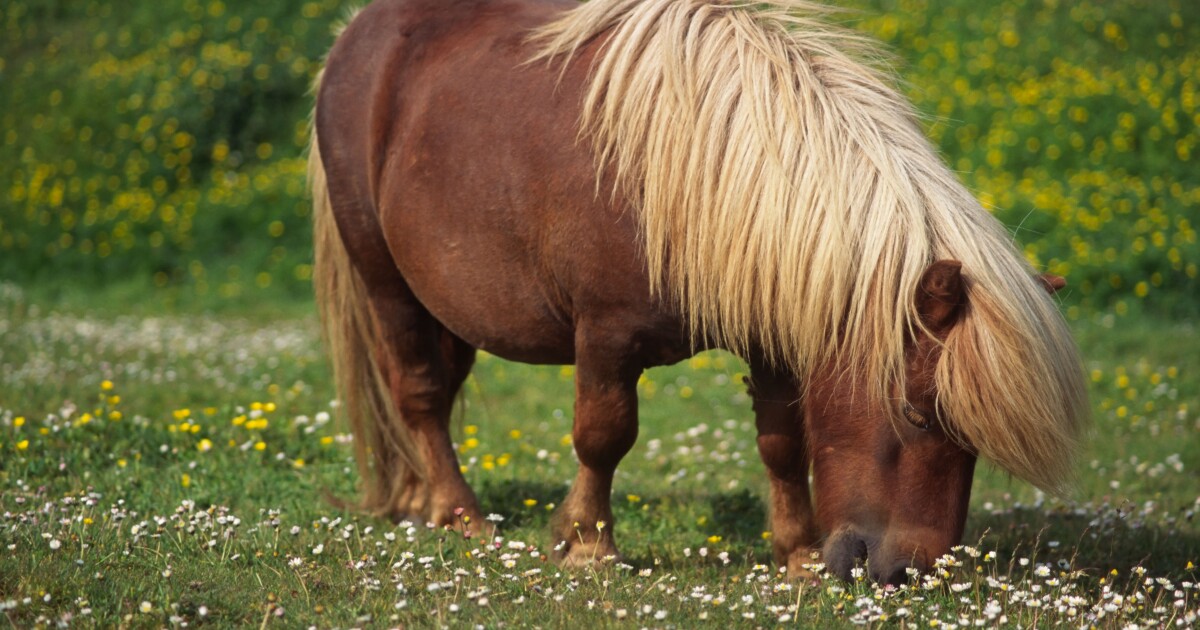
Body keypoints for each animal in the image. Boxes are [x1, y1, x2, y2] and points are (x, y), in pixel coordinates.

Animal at [308, 0, 1088, 585]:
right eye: (915, 414)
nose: (907, 573)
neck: (693, 176)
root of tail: (357, 34)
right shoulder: (606, 335)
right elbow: (603, 435)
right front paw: (588, 545)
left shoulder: (774, 336)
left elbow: (782, 441)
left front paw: (798, 554)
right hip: (385, 283)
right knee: (419, 397)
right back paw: (460, 514)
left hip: (449, 308)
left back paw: (419, 501)